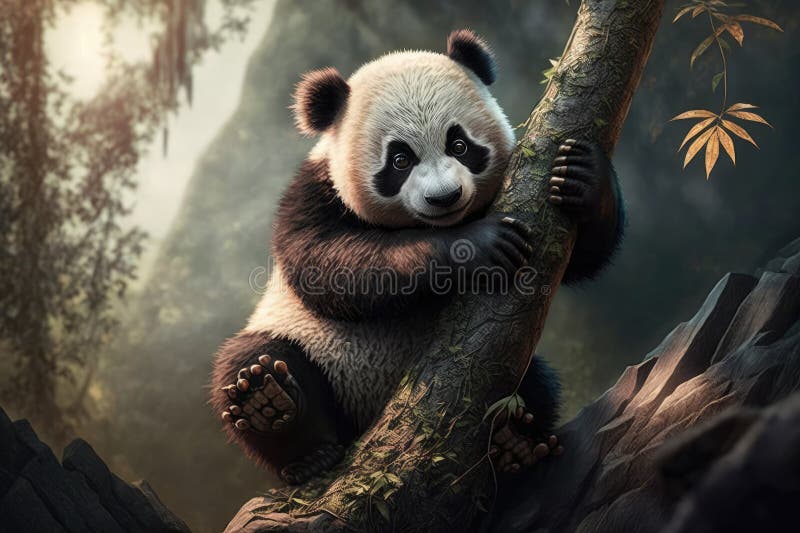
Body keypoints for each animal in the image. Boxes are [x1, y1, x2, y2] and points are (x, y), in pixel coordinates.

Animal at [211, 29, 624, 484]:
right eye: (400, 159)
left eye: (459, 144)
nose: (445, 197)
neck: (429, 224)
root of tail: (369, 419)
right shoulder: (313, 194)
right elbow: (329, 268)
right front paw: (478, 244)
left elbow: (578, 256)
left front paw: (582, 174)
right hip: (314, 352)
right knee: (251, 359)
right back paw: (281, 418)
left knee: (535, 384)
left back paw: (514, 444)